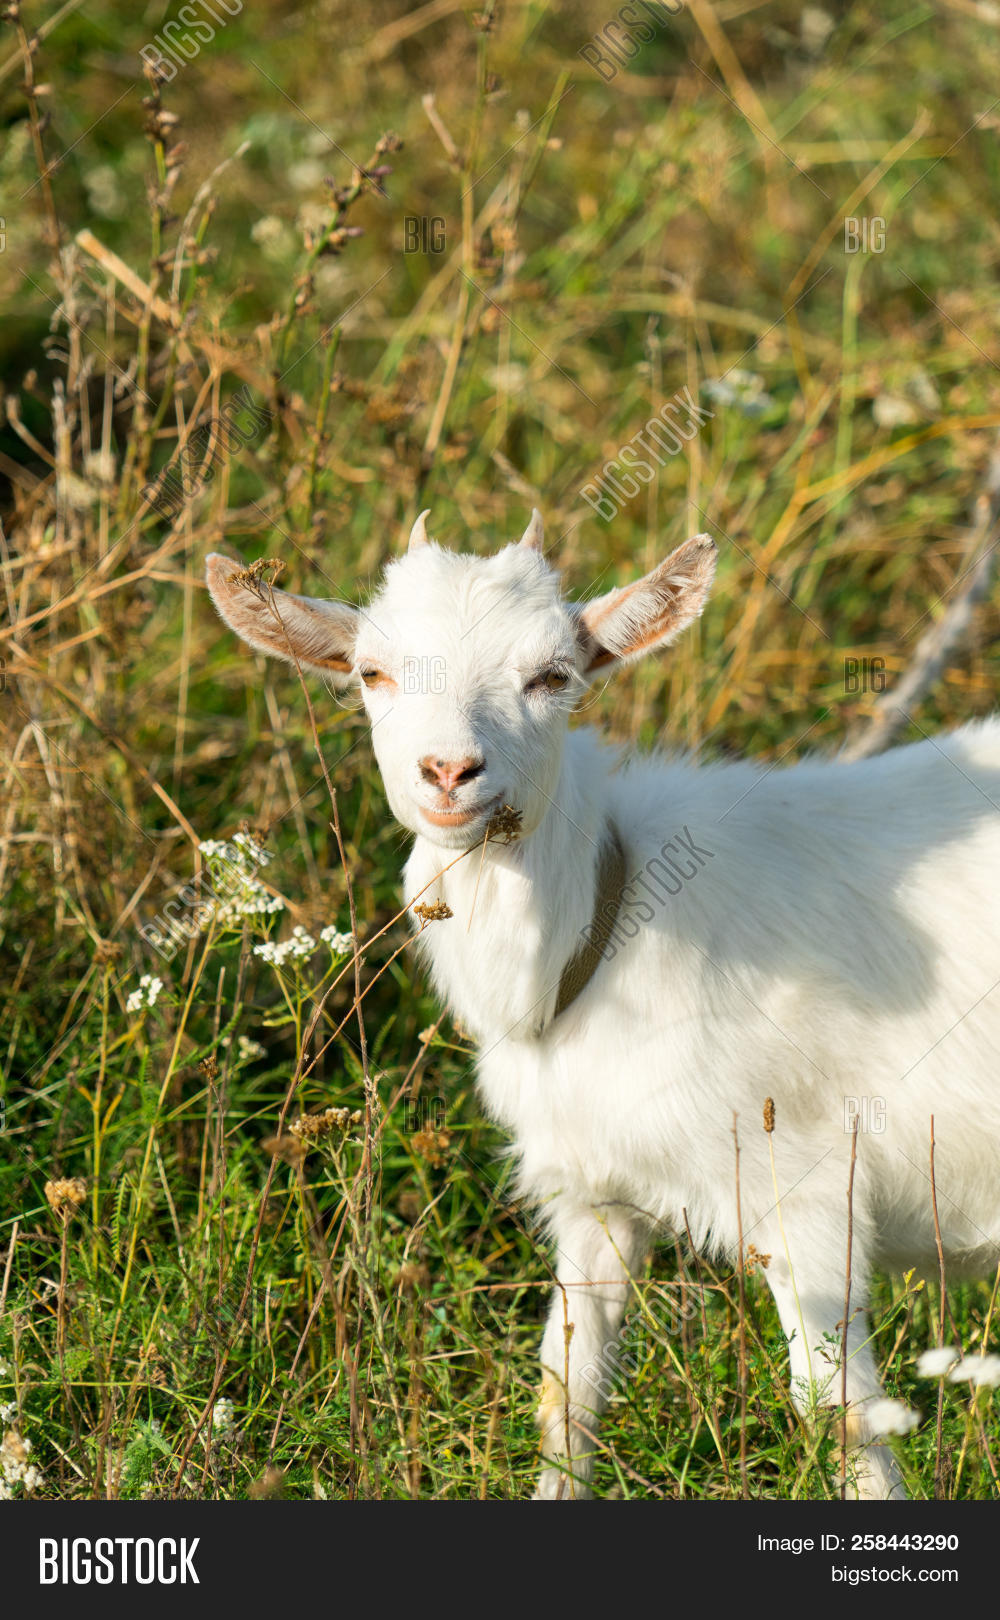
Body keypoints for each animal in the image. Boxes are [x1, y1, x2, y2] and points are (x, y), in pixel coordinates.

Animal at [206, 512, 1000, 1500]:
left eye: (553, 676)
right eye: (371, 673)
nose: (449, 772)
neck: (601, 930)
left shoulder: (810, 1191)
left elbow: (843, 1419)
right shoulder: (592, 1194)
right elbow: (567, 1395)